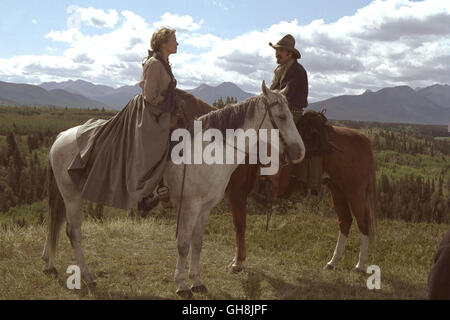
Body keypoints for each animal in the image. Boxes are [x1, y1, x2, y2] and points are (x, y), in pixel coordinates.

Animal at [224, 114, 376, 272]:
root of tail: (364, 139)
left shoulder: (236, 193)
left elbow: (239, 225)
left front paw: (237, 263)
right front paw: (236, 261)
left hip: (354, 191)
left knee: (362, 222)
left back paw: (360, 265)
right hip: (337, 189)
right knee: (345, 221)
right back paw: (332, 262)